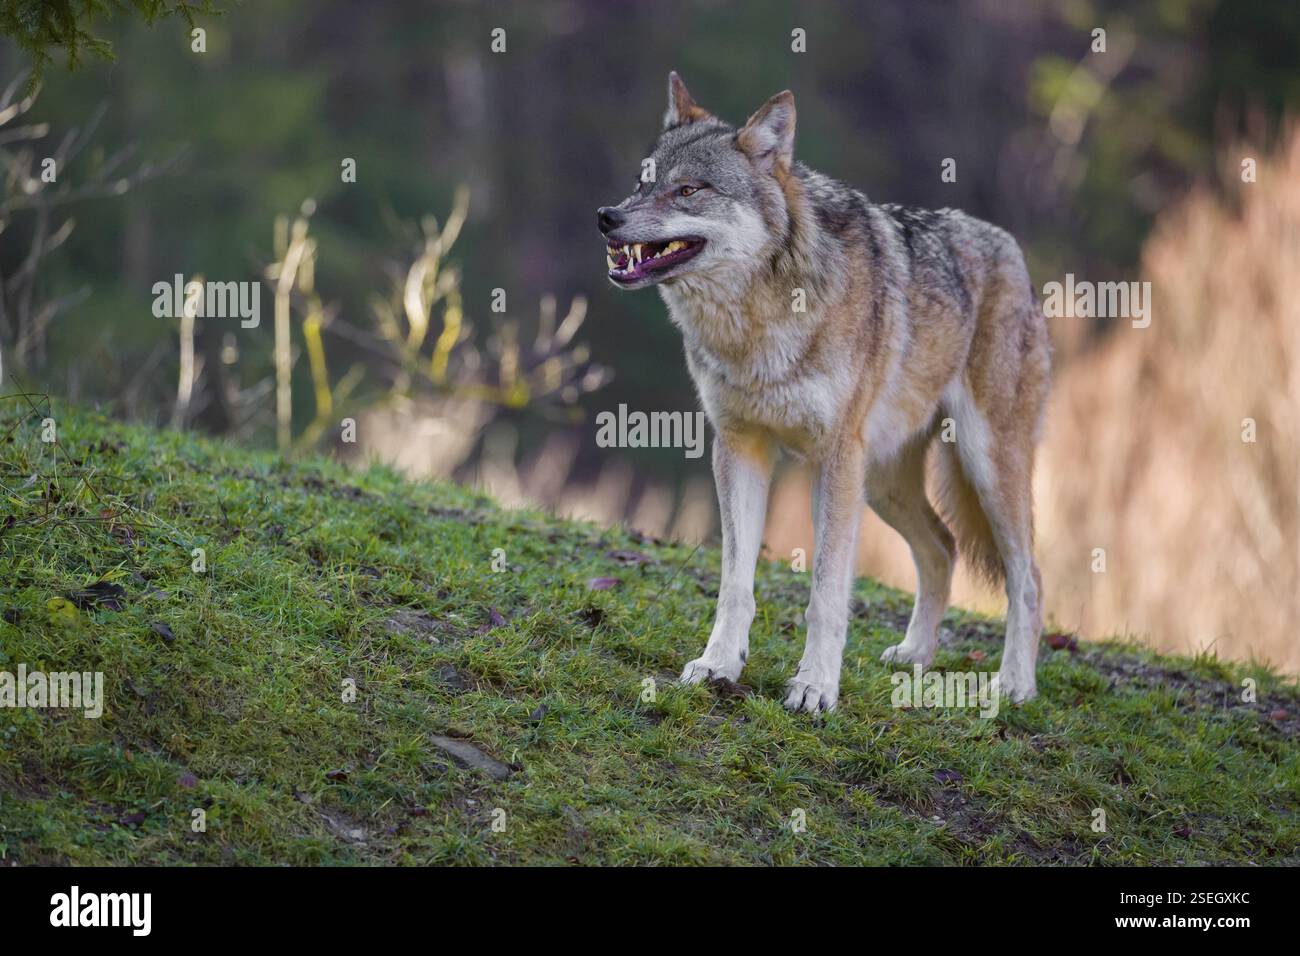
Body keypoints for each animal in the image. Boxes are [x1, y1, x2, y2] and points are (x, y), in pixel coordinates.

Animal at [597, 73, 1051, 713]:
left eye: (687, 190)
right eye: (643, 182)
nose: (606, 216)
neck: (756, 322)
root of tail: (1012, 251)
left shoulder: (833, 459)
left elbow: (827, 591)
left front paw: (814, 687)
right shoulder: (739, 448)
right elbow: (735, 584)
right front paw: (718, 666)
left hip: (982, 467)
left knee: (1028, 576)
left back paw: (1014, 685)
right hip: (881, 482)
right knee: (943, 547)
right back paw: (916, 656)